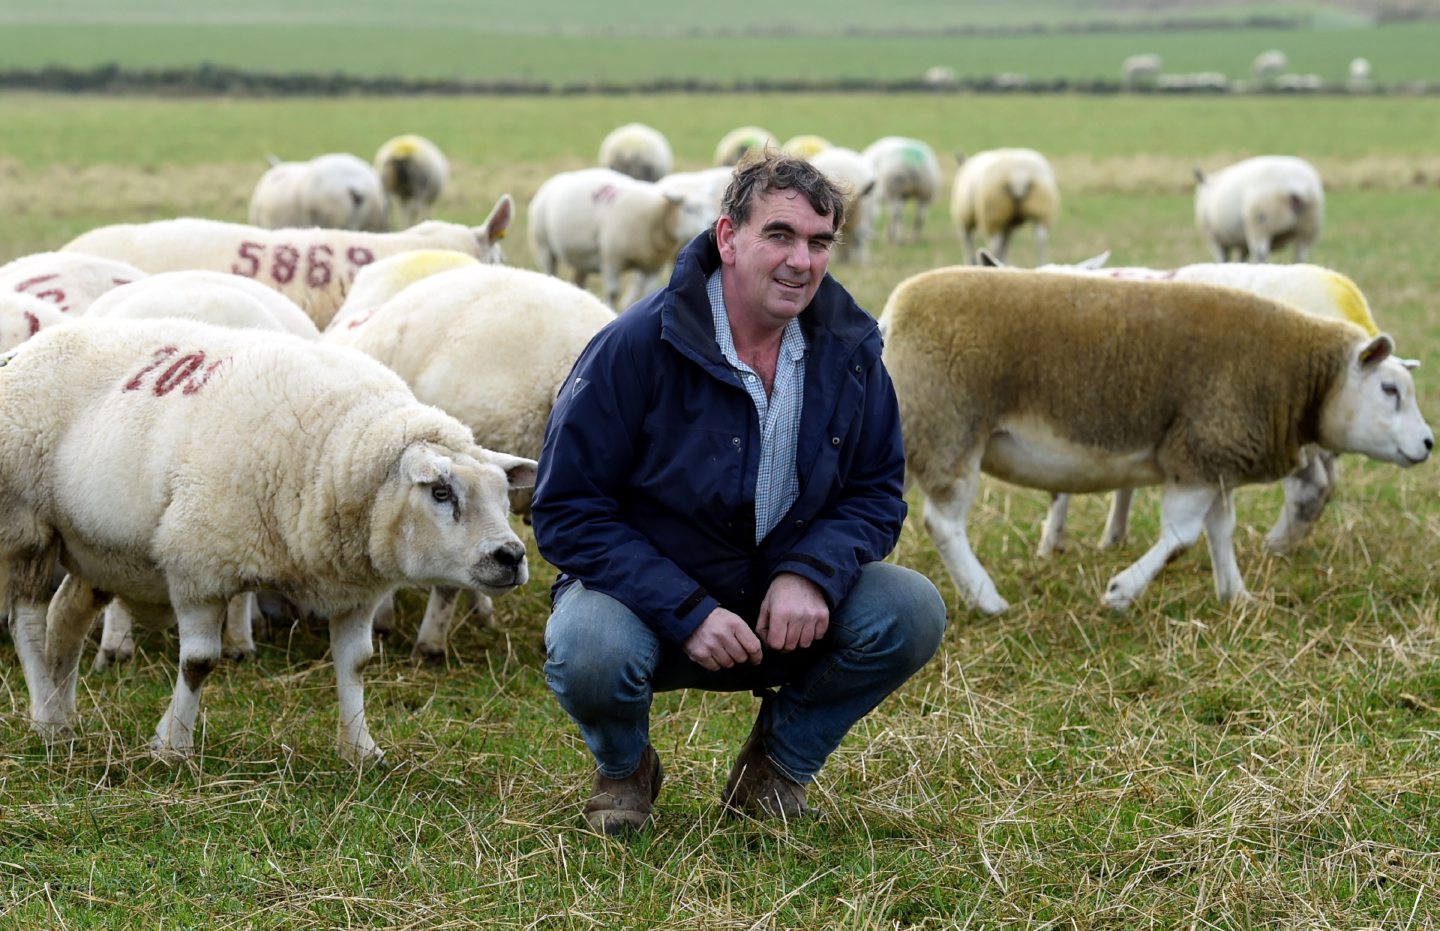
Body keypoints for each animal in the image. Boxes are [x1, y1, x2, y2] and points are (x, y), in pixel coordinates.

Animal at [0, 317, 537, 763]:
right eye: (441, 492)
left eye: (502, 495)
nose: (510, 556)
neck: (334, 447)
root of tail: (32, 346)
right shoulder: (199, 563)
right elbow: (198, 663)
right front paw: (173, 747)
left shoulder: (354, 588)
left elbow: (357, 664)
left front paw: (360, 750)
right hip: (27, 525)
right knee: (28, 622)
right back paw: (46, 723)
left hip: (97, 550)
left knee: (66, 617)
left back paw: (62, 717)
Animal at [527, 167, 712, 309]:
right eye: (689, 209)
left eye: (708, 207)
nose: (709, 226)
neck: (656, 216)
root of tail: (553, 181)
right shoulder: (611, 257)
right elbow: (613, 292)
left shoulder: (654, 265)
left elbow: (648, 291)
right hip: (544, 246)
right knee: (549, 270)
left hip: (580, 259)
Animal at [880, 267, 1431, 615]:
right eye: (1389, 389)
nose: (1429, 443)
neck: (1298, 381)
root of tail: (893, 313)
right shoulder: (1198, 450)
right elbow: (1182, 535)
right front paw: (1121, 592)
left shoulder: (1215, 461)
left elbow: (1220, 532)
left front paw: (1236, 596)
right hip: (949, 428)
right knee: (944, 524)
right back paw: (988, 600)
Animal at [1193, 155, 1324, 263]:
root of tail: (1297, 187)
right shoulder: (1241, 244)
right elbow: (1241, 259)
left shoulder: (1215, 240)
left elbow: (1223, 260)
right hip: (1308, 228)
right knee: (1301, 256)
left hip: (1261, 224)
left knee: (1261, 254)